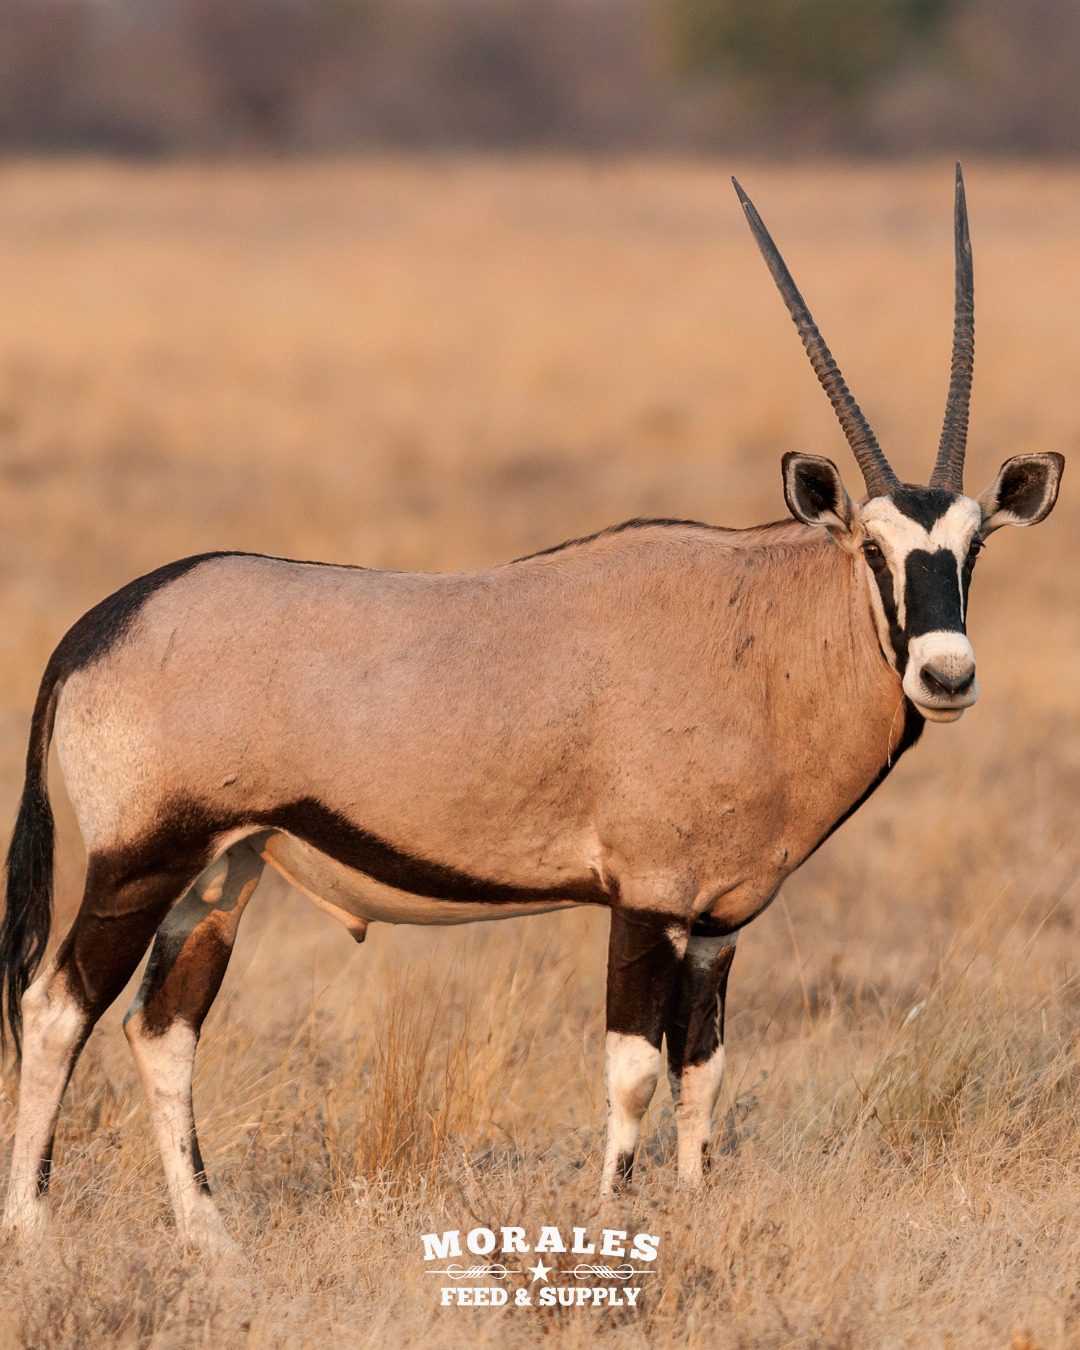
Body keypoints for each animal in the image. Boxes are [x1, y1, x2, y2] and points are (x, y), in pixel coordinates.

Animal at [0, 167, 1062, 1255]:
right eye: (875, 550)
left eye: (975, 547)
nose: (946, 675)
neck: (760, 630)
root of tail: (100, 623)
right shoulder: (646, 899)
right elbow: (634, 1070)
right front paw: (611, 1221)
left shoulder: (718, 921)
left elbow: (702, 1070)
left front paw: (692, 1209)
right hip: (142, 859)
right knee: (56, 1006)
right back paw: (33, 1227)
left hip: (222, 871)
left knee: (160, 1027)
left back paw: (209, 1236)